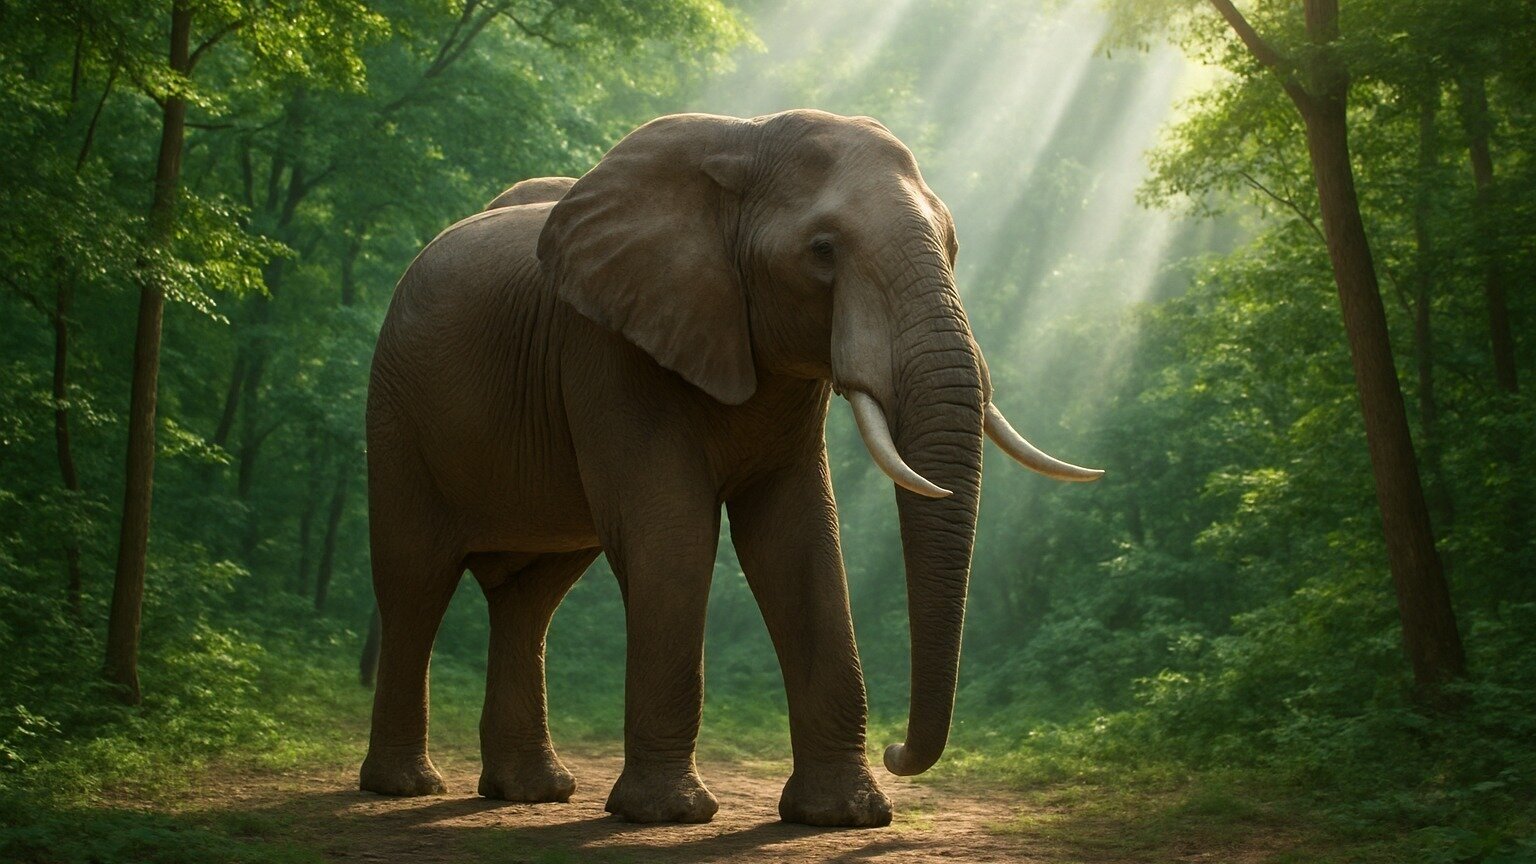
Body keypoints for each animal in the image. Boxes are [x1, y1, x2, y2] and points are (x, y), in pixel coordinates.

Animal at [359, 109, 1101, 827]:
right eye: (822, 251)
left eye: (953, 247)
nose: (897, 751)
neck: (745, 139)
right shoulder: (609, 351)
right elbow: (672, 536)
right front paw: (667, 814)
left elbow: (797, 540)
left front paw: (845, 816)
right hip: (395, 411)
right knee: (414, 579)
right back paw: (405, 787)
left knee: (530, 598)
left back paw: (531, 792)